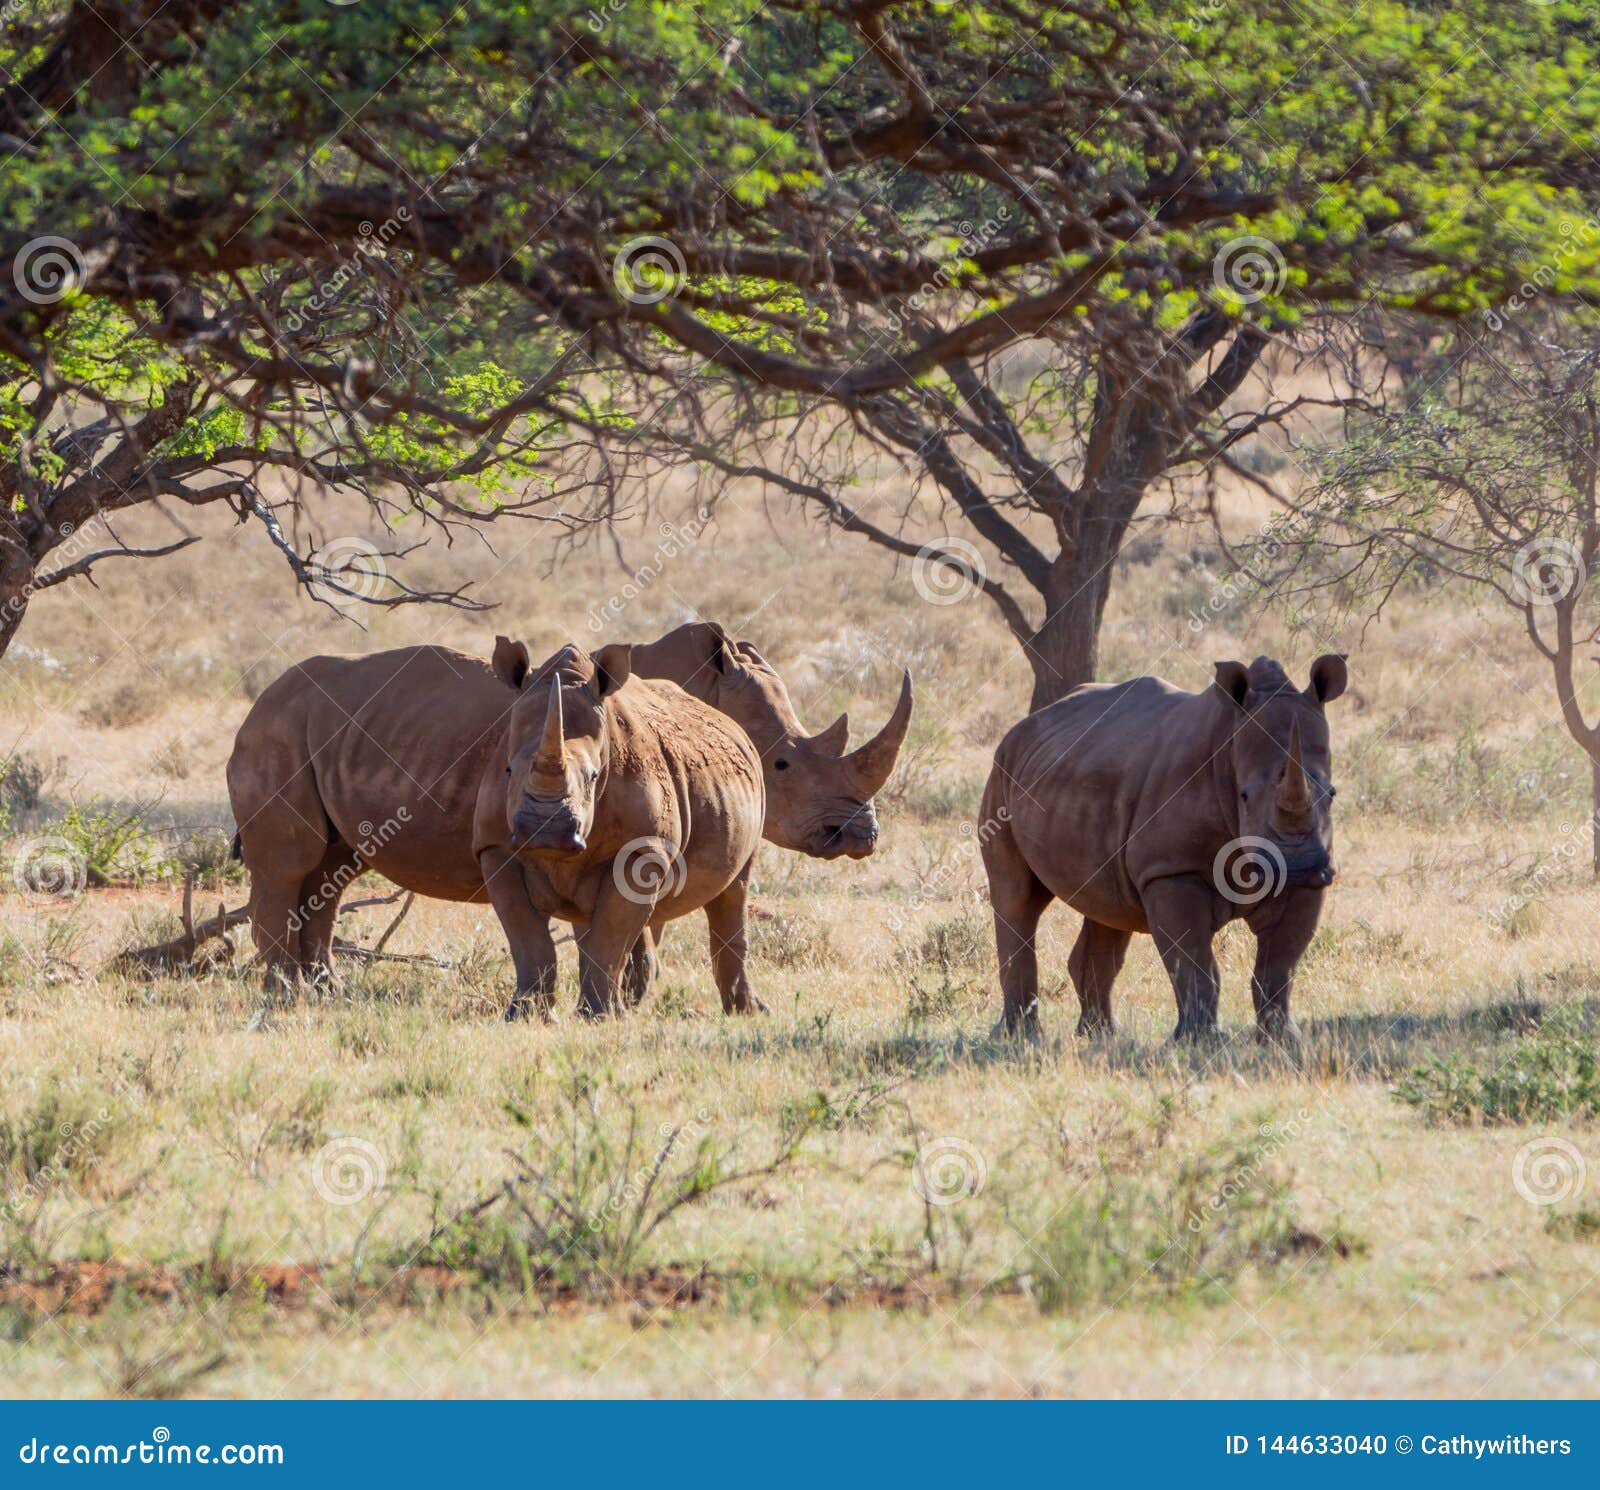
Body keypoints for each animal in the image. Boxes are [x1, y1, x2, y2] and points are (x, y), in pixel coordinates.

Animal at [227, 639, 766, 1018]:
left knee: (331, 869)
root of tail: (260, 701)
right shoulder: (495, 846)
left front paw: (598, 1016)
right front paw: (527, 1016)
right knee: (293, 866)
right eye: (506, 770)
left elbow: (609, 937)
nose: (543, 832)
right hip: (277, 730)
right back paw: (286, 995)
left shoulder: (641, 851)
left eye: (595, 777)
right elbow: (529, 938)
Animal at [980, 654, 1347, 1042]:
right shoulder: (1170, 870)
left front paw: (1283, 1039)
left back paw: (1102, 1035)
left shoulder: (1310, 879)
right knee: (1017, 898)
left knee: (1106, 908)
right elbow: (1194, 962)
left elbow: (1279, 965)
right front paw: (1202, 1040)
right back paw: (1020, 1037)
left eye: (1332, 794)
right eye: (1244, 796)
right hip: (1001, 774)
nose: (1297, 867)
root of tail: (1022, 726)